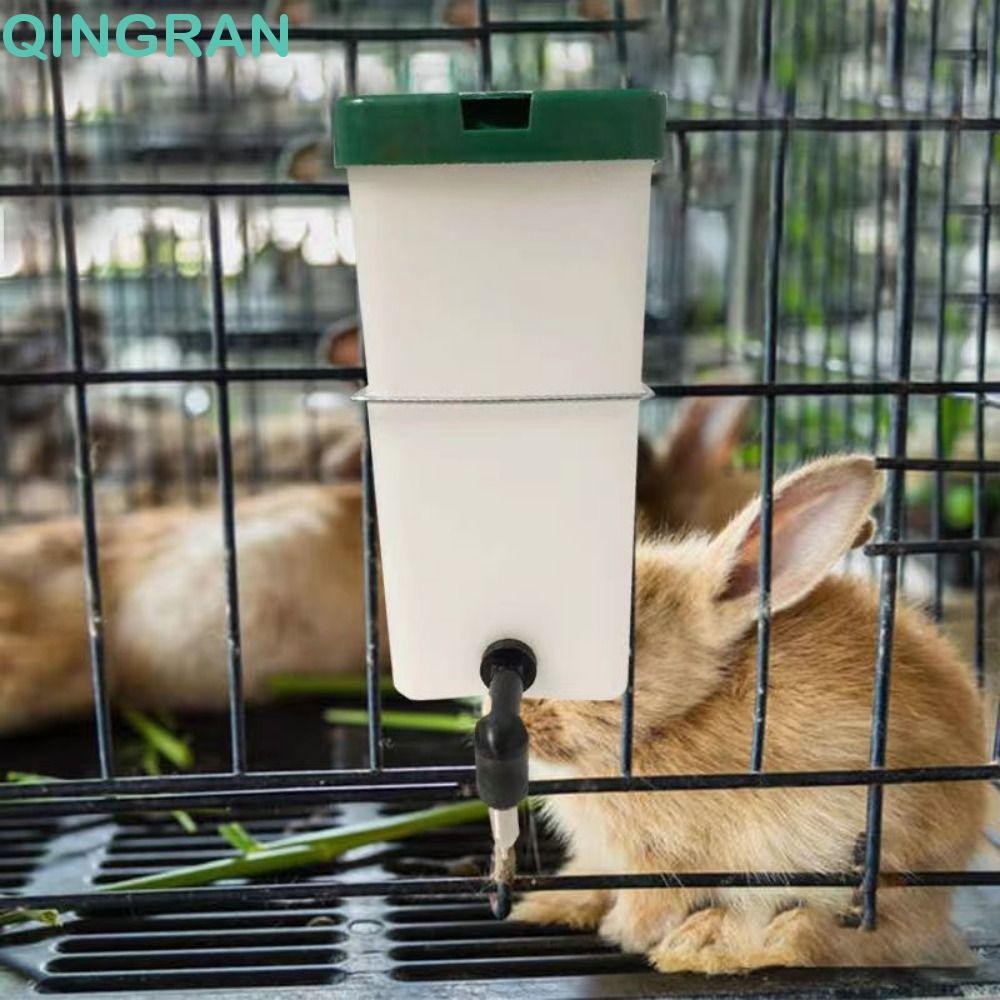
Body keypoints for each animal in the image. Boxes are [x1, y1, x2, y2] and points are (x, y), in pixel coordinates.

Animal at [512, 455, 987, 972]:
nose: (517, 712)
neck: (682, 711)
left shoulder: (670, 857)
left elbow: (653, 900)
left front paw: (624, 933)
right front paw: (550, 905)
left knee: (865, 937)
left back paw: (711, 946)